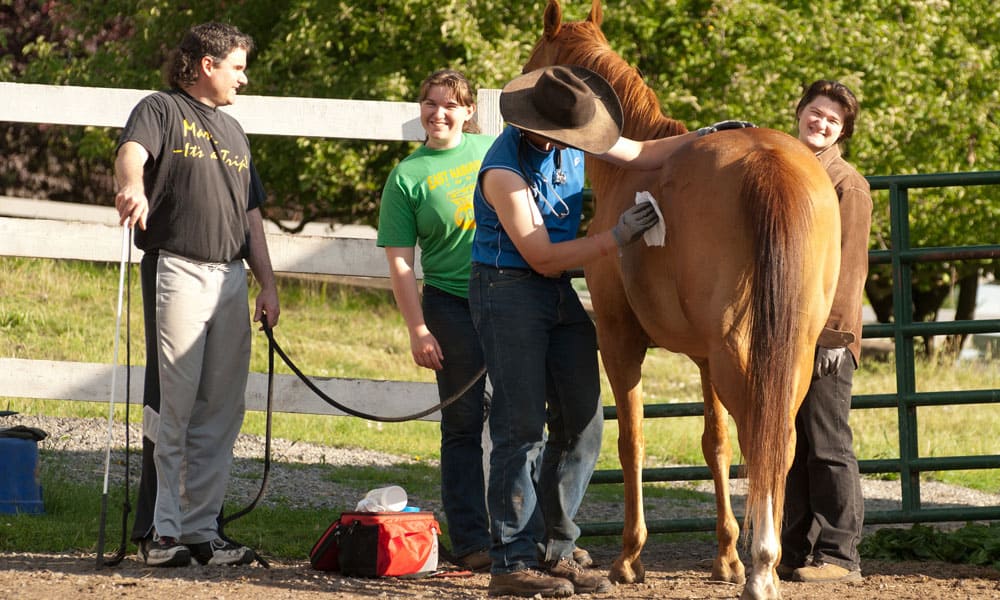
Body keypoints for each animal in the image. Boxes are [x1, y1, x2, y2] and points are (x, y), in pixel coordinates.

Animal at [523, 2, 842, 599]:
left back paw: (763, 568)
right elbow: (715, 444)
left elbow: (632, 442)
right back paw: (762, 564)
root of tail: (768, 163)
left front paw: (629, 558)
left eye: (532, 62)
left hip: (736, 350)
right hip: (785, 350)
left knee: (761, 436)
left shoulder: (619, 341)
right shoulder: (703, 357)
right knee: (778, 439)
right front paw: (725, 558)